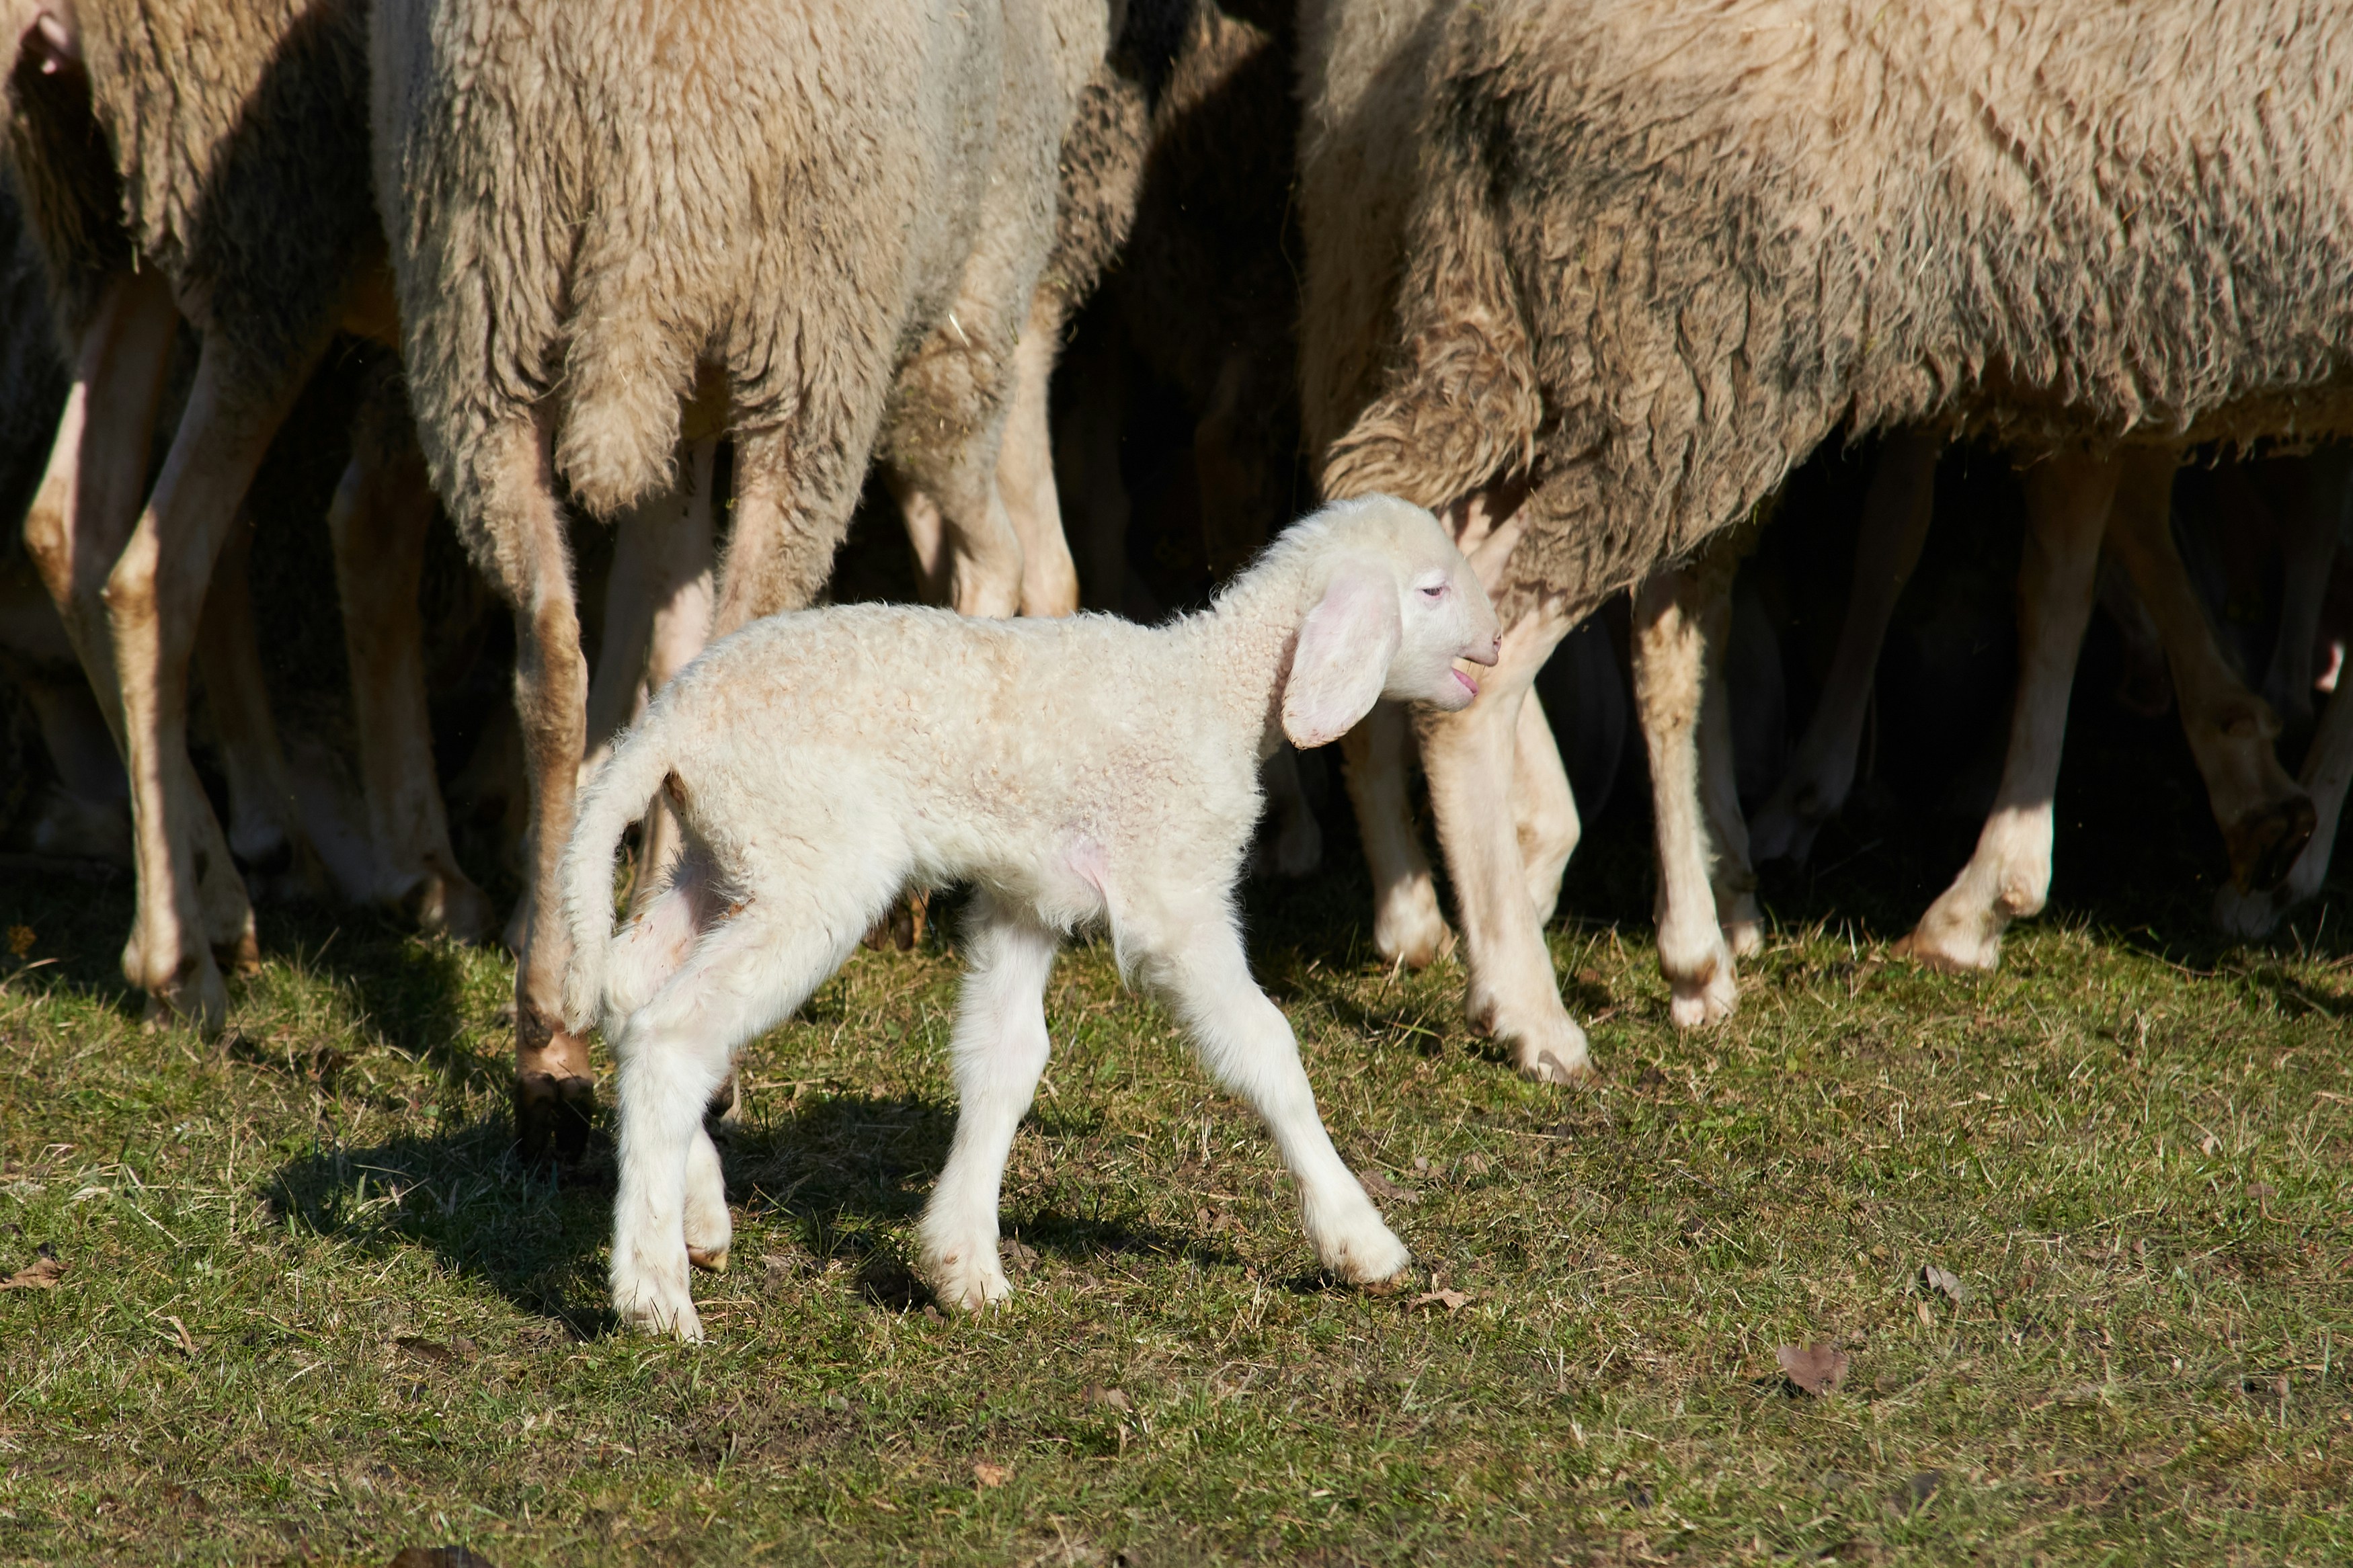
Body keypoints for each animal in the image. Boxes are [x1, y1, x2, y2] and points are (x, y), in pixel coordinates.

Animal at [6, 0, 488, 1031]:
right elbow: (380, 524)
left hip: (108, 219)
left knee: (73, 522)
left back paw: (216, 890)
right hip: (268, 229)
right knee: (158, 564)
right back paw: (179, 958)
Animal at [557, 495, 1493, 1339]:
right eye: (1433, 589)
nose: (1490, 645)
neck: (1217, 688)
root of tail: (669, 722)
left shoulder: (1025, 898)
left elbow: (1003, 1059)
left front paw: (961, 1263)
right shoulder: (1172, 892)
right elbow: (1265, 1045)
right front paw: (1359, 1239)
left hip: (726, 858)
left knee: (631, 990)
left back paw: (700, 1214)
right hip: (810, 862)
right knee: (675, 1032)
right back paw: (654, 1293)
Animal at [1299, 0, 2353, 1068]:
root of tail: (1484, 51)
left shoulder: (2090, 349)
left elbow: (2059, 576)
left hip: (1579, 341)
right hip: (1691, 336)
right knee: (1491, 668)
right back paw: (1530, 998)